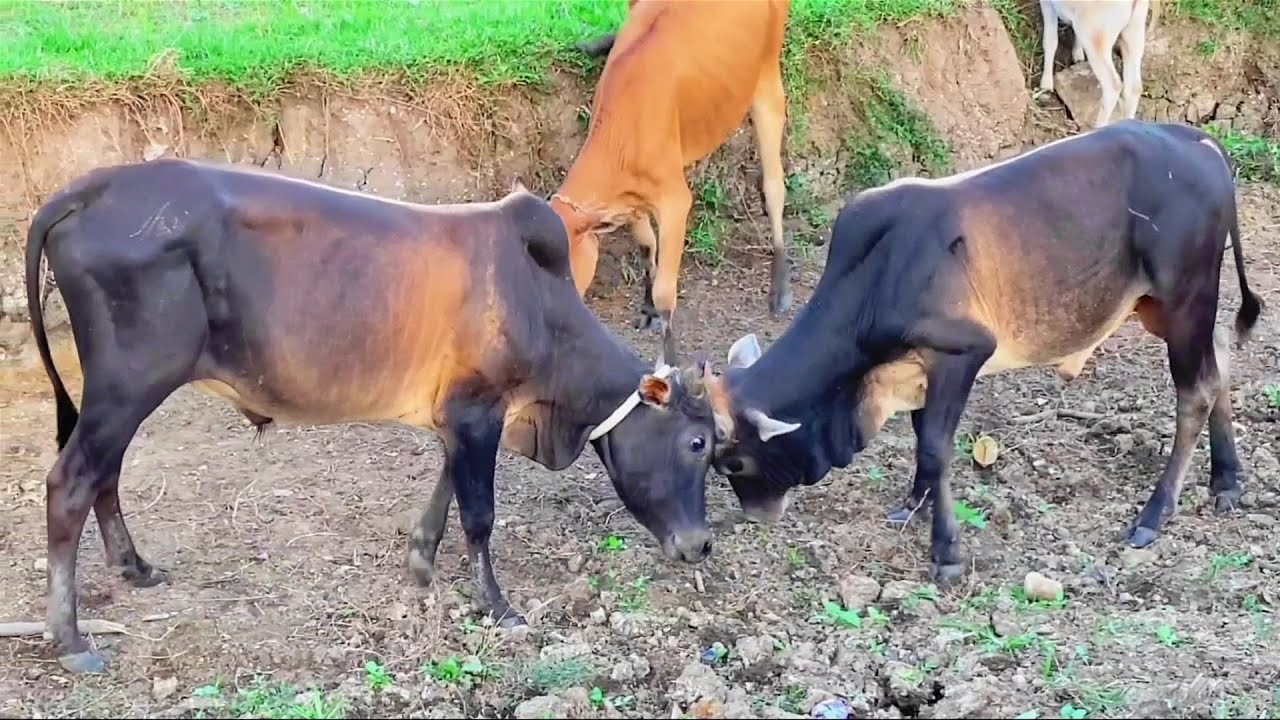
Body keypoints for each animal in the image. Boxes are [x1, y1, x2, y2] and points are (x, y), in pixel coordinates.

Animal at [24, 159, 720, 674]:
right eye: (697, 443)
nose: (701, 545)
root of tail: (87, 189)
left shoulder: (463, 416)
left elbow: (445, 495)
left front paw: (421, 562)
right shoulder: (477, 412)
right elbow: (479, 514)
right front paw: (497, 605)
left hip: (119, 393)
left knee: (105, 474)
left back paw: (133, 568)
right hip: (128, 386)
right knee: (69, 483)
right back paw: (71, 638)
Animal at [550, 0, 792, 366]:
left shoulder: (676, 200)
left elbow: (666, 289)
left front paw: (671, 361)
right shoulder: (630, 200)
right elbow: (646, 245)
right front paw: (647, 308)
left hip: (766, 77)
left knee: (775, 186)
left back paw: (778, 289)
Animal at [699, 120, 1263, 585]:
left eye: (734, 465)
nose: (756, 516)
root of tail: (1200, 142)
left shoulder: (962, 352)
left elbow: (935, 447)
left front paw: (947, 553)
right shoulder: (920, 369)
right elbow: (922, 438)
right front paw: (915, 504)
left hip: (1184, 297)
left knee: (1195, 393)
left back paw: (1154, 514)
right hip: (1166, 309)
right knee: (1219, 362)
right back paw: (1227, 482)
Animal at [1037, 0, 1164, 129]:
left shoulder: (1047, 4)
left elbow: (1050, 40)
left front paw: (1046, 86)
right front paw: (1078, 55)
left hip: (1096, 37)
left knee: (1113, 85)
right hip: (1135, 31)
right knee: (1134, 88)